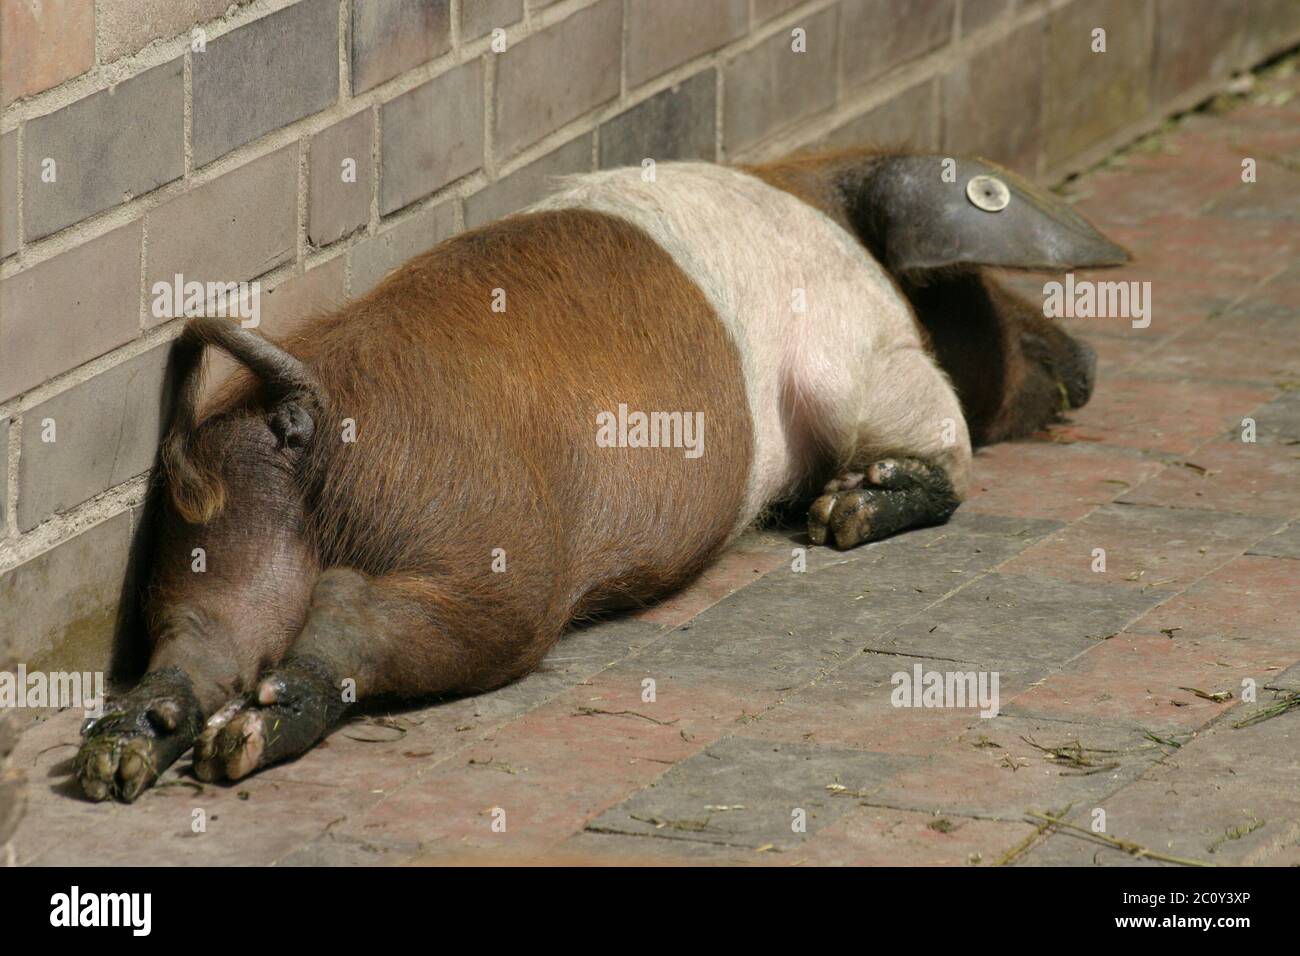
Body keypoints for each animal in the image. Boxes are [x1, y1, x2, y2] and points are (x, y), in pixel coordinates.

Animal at [75, 149, 1126, 801]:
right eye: (976, 286)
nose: (1086, 361)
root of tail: (301, 406)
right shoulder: (861, 344)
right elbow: (930, 440)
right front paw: (842, 514)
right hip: (485, 543)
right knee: (355, 623)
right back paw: (241, 739)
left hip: (225, 532)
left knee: (202, 640)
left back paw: (120, 761)